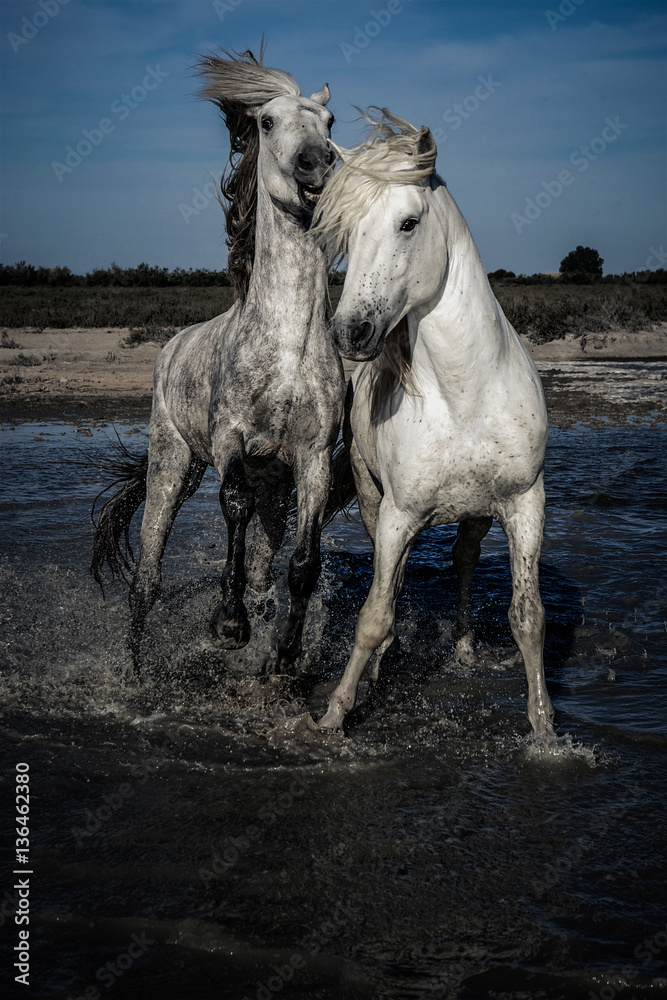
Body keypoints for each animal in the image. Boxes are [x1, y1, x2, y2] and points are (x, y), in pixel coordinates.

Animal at [91, 49, 344, 673]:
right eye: (267, 123)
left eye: (330, 124)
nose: (317, 166)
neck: (287, 344)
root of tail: (171, 346)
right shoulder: (230, 439)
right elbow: (232, 506)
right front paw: (226, 625)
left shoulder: (312, 459)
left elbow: (304, 562)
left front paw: (284, 655)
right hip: (172, 464)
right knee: (147, 579)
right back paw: (134, 673)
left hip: (273, 486)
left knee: (261, 564)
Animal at [313, 111, 555, 739]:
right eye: (346, 233)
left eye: (408, 222)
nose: (348, 332)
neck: (465, 393)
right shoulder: (399, 515)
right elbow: (374, 614)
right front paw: (332, 714)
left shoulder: (526, 504)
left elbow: (529, 618)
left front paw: (545, 730)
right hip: (375, 503)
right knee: (393, 585)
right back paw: (382, 664)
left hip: (478, 513)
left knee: (463, 562)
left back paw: (465, 646)